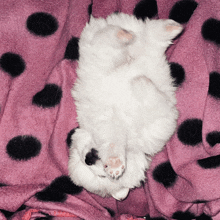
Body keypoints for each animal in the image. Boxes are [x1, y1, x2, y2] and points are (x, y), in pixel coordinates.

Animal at [69, 12, 182, 200]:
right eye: (101, 176)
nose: (88, 158)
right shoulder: (154, 121)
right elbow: (114, 145)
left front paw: (139, 81)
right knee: (149, 35)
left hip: (103, 55)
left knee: (115, 37)